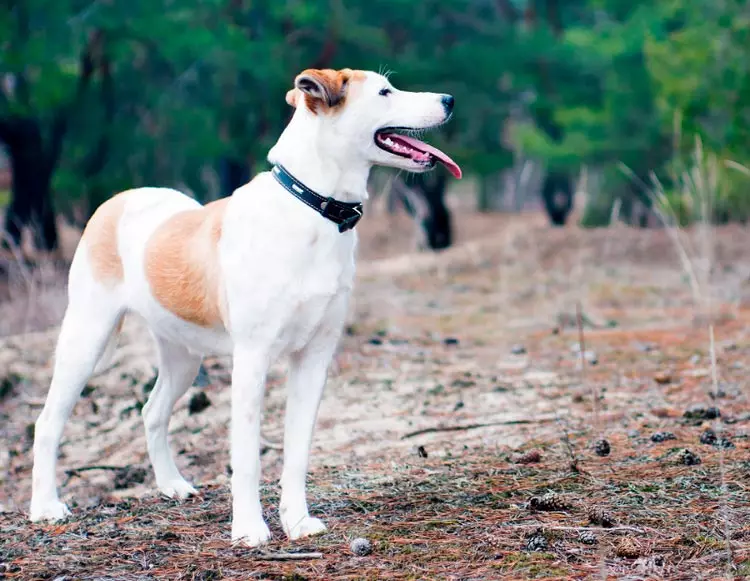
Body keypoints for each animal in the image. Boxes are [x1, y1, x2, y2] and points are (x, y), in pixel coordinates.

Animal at [29, 67, 462, 544]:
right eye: (385, 92)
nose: (449, 99)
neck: (312, 207)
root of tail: (117, 199)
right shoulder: (252, 359)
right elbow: (248, 457)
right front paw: (250, 529)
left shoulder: (314, 358)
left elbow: (297, 451)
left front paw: (296, 521)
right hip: (86, 338)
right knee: (48, 422)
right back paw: (45, 507)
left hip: (182, 355)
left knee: (152, 411)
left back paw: (171, 485)